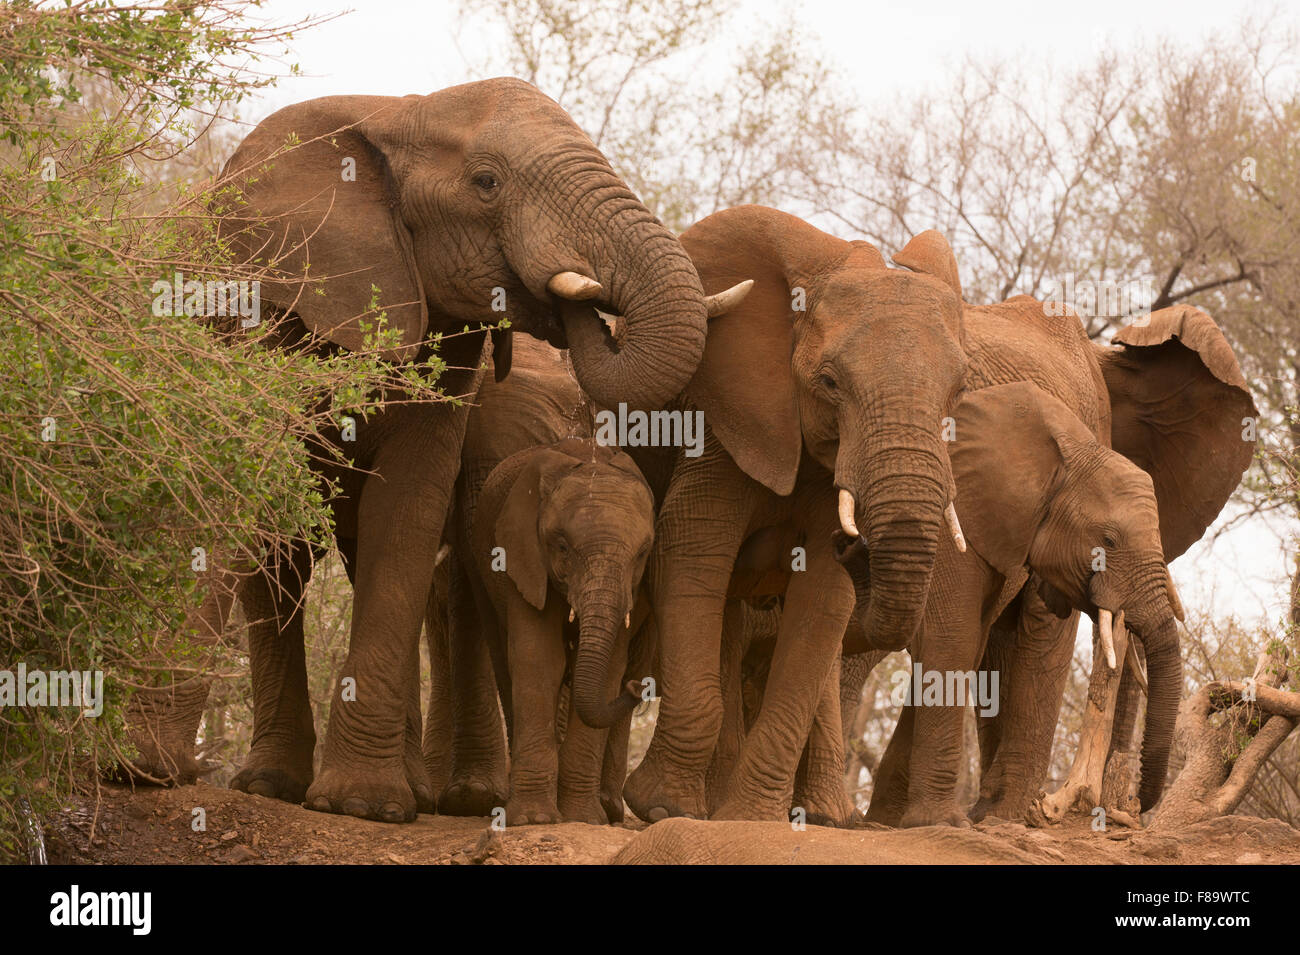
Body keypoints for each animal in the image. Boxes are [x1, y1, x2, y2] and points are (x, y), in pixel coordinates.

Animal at [467, 437, 655, 824]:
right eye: (563, 546)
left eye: (643, 553)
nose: (638, 687)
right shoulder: (523, 557)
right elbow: (539, 659)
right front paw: (535, 820)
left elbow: (610, 669)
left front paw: (583, 819)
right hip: (480, 560)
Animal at [621, 205, 971, 824]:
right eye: (829, 383)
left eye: (959, 392)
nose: (852, 542)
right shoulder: (723, 417)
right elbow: (691, 549)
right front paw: (661, 809)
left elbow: (823, 602)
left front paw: (747, 819)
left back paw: (817, 816)